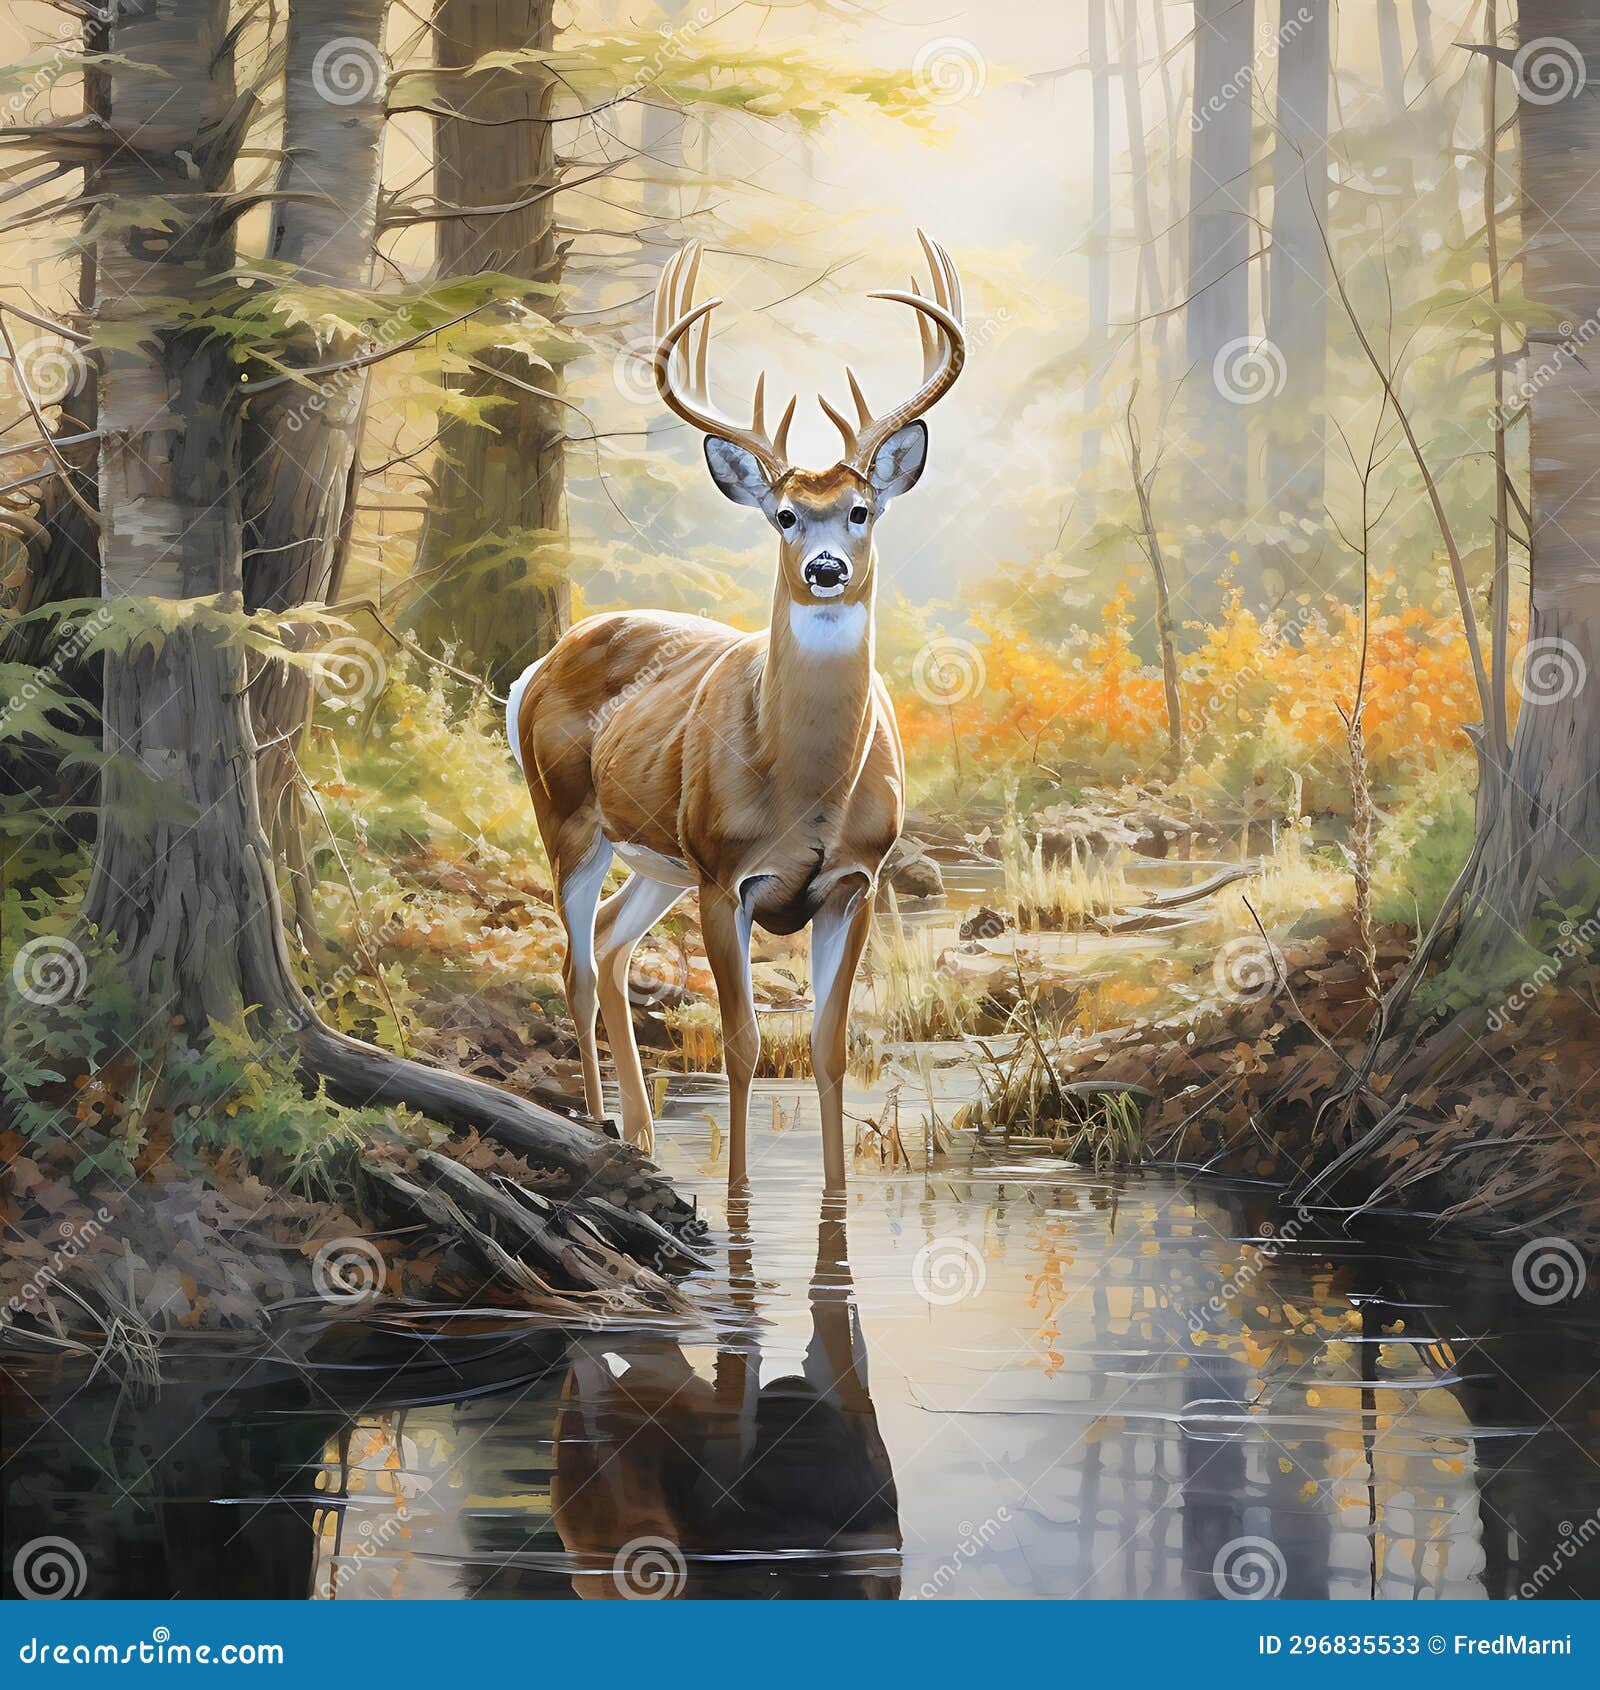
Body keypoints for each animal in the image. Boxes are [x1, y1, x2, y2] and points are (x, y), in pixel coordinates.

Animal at [508, 232, 966, 1196]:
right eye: (785, 515)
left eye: (861, 510)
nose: (826, 568)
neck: (810, 790)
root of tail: (539, 664)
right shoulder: (727, 877)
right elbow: (743, 1044)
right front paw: (743, 1203)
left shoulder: (857, 880)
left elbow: (830, 1049)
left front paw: (835, 1200)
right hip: (571, 817)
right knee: (573, 960)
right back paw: (600, 1125)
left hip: (659, 858)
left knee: (611, 942)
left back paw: (643, 1131)